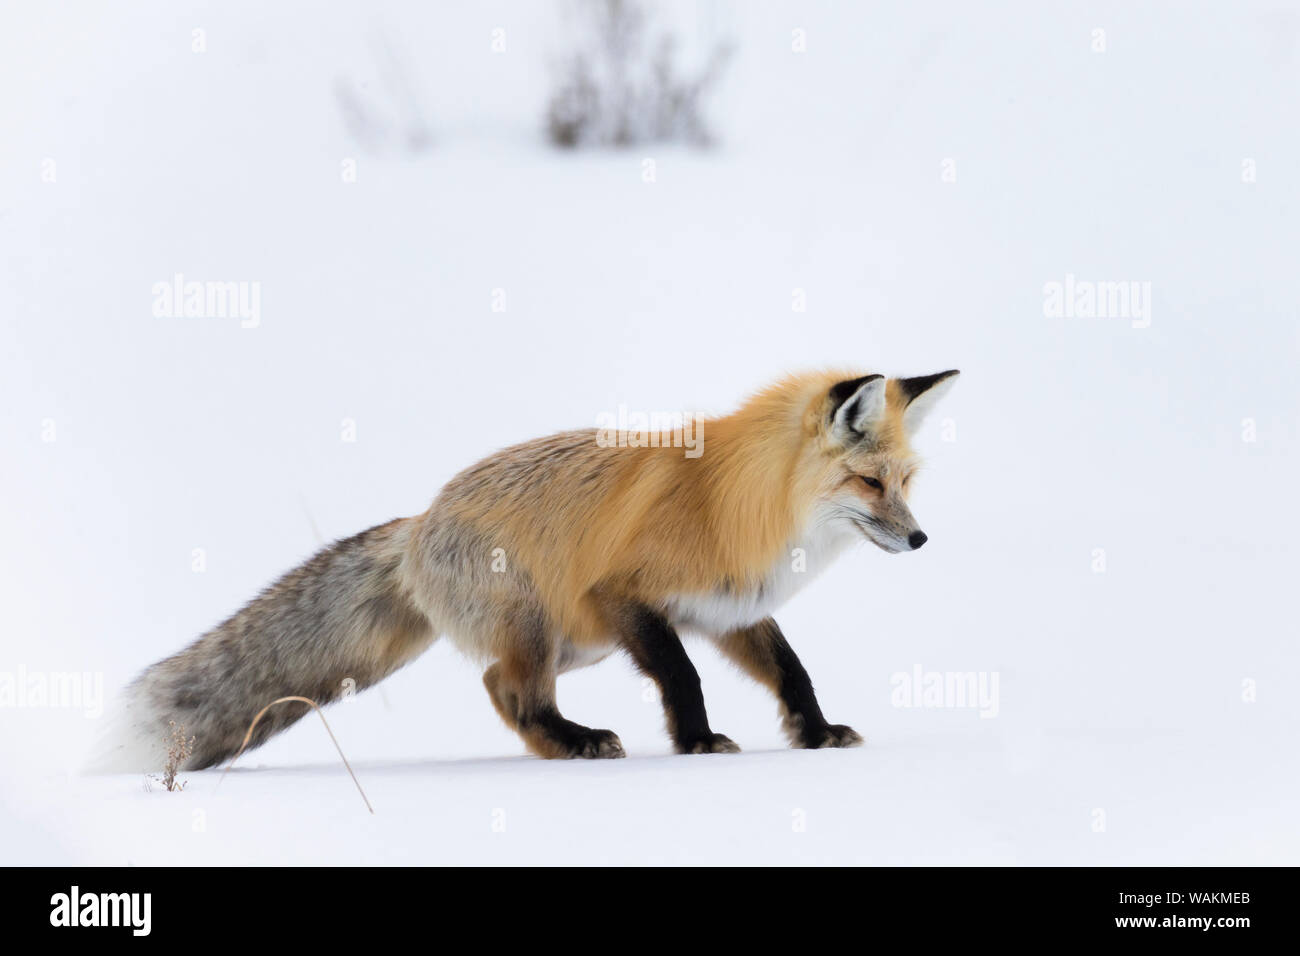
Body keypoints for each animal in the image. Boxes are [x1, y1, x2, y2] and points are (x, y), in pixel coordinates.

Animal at [93, 369, 959, 771]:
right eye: (869, 483)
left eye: (905, 483)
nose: (921, 541)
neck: (739, 502)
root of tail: (418, 525)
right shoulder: (625, 595)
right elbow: (684, 678)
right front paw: (696, 742)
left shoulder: (728, 610)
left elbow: (793, 671)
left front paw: (814, 733)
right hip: (549, 625)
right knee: (514, 692)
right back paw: (574, 742)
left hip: (581, 643)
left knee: (495, 686)